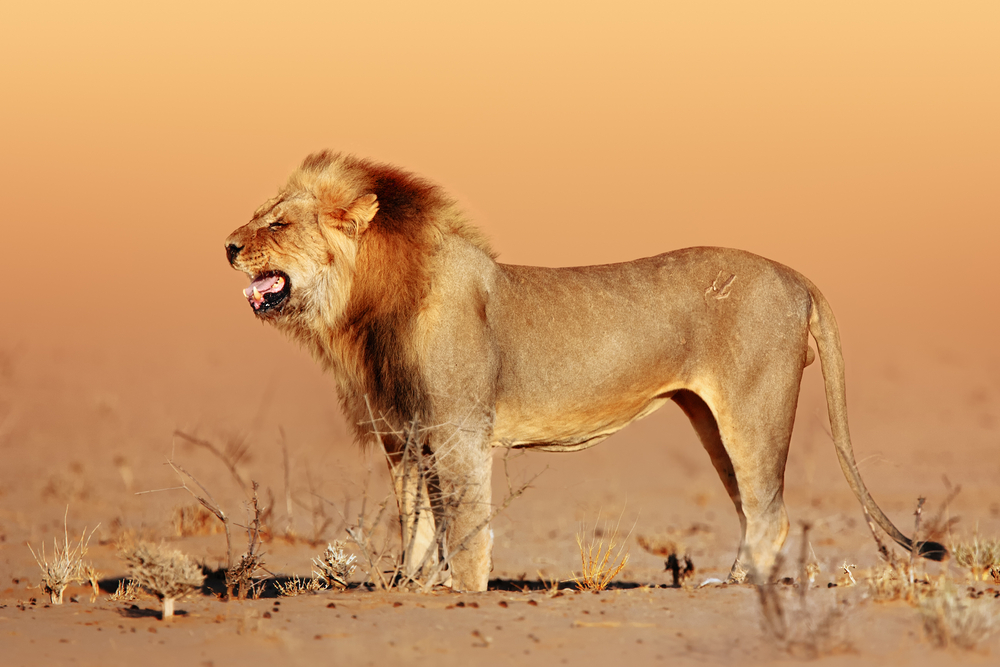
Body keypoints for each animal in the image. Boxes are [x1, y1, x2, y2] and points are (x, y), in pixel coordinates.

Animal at [225, 151, 945, 591]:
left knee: (772, 510)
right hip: (715, 423)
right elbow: (418, 523)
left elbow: (464, 520)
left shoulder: (458, 432)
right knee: (755, 506)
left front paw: (464, 591)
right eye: (260, 217)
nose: (228, 246)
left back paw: (736, 584)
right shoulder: (405, 436)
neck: (367, 310)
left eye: (278, 224)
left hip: (752, 412)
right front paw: (410, 585)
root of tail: (798, 276)